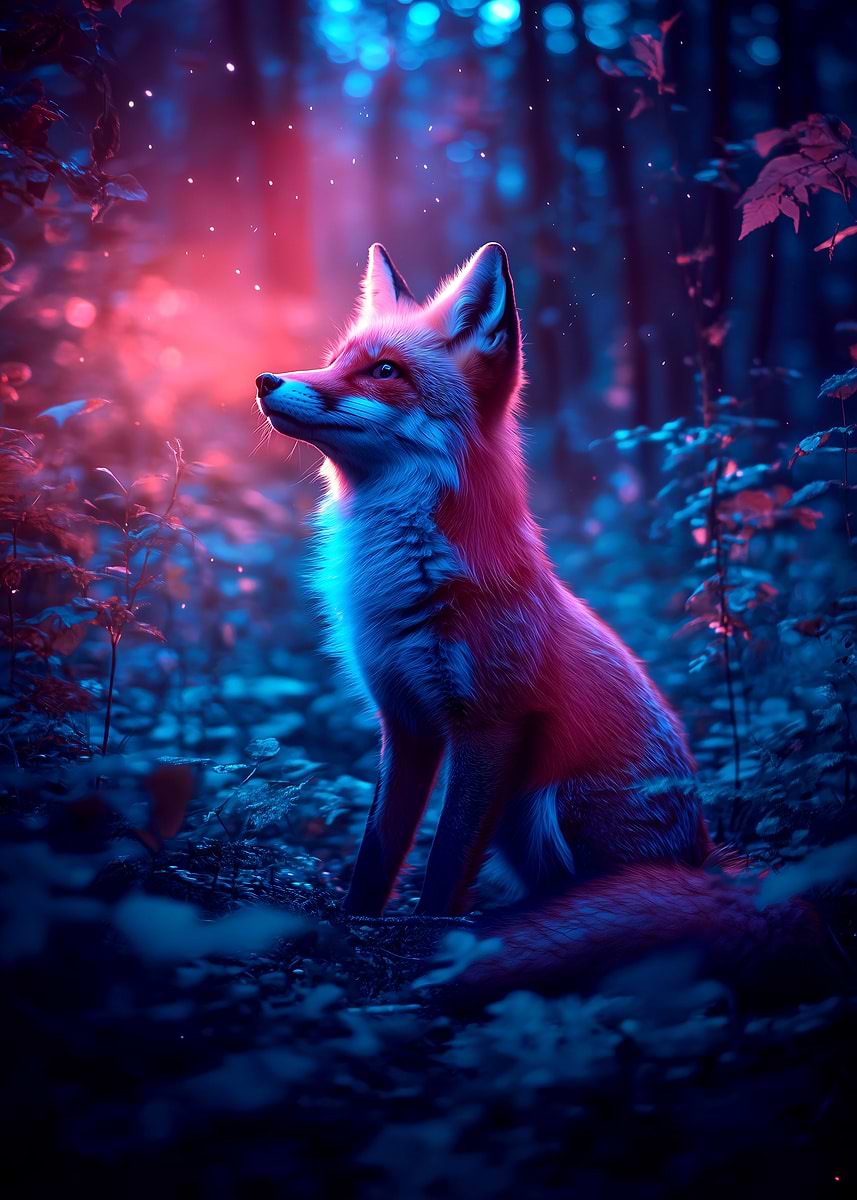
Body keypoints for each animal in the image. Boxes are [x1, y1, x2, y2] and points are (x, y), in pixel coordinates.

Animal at [256, 242, 832, 1002]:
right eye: (334, 359)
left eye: (384, 371)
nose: (265, 379)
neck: (404, 577)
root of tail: (706, 859)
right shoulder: (405, 725)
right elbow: (374, 858)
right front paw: (349, 938)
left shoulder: (490, 725)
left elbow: (443, 869)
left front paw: (424, 955)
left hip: (552, 804)